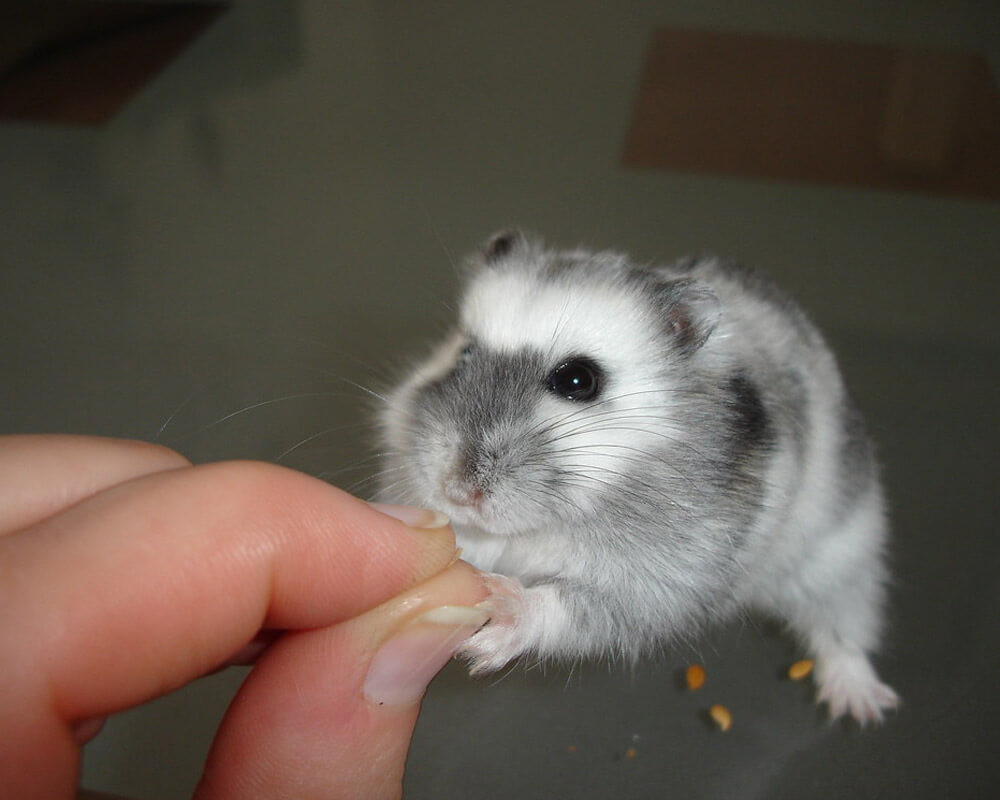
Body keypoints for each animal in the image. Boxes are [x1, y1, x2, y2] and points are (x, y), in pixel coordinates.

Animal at [379, 230, 899, 723]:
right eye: (463, 353)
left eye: (577, 380)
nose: (458, 492)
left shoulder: (669, 577)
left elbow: (572, 606)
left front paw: (499, 607)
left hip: (842, 552)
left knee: (844, 627)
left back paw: (861, 706)